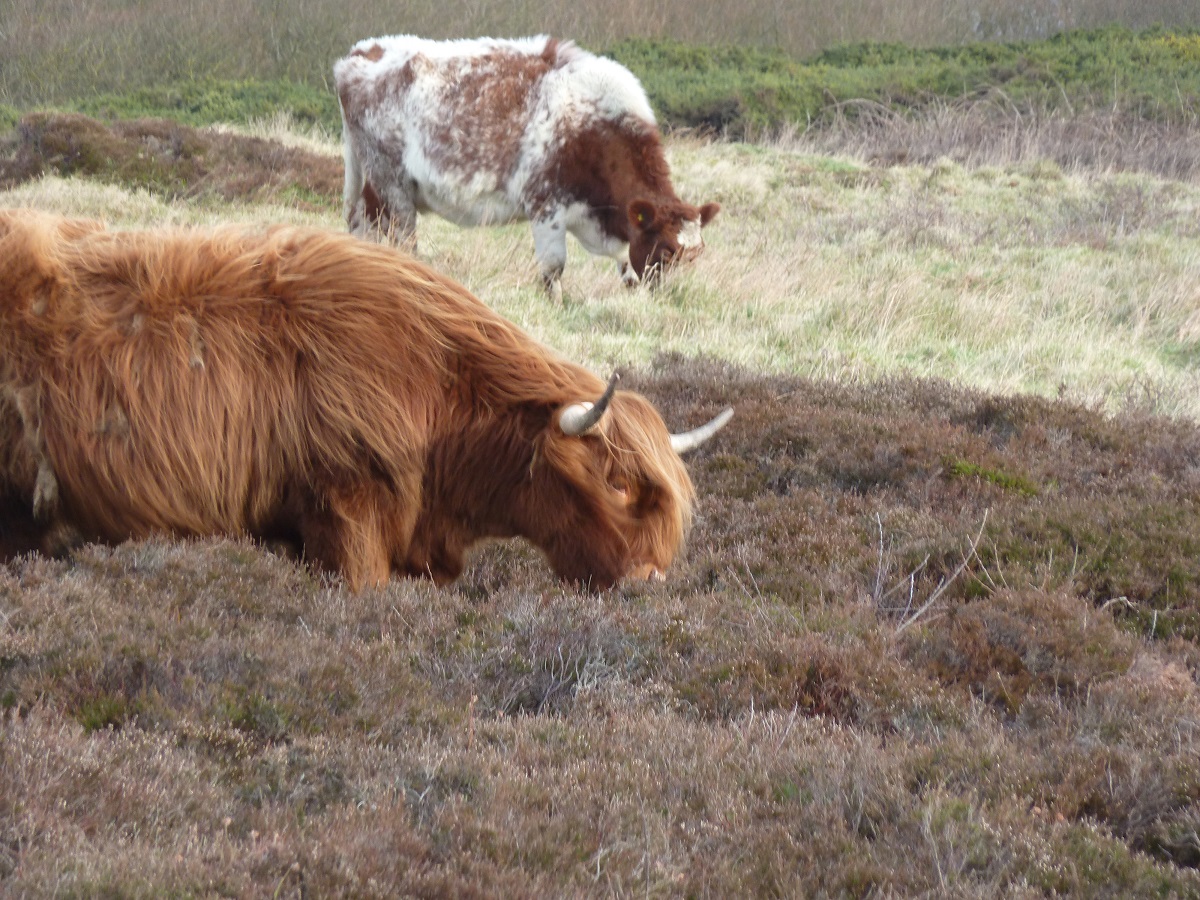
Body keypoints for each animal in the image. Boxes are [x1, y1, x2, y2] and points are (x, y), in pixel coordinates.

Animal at [334, 35, 720, 300]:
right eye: (667, 251)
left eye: (698, 253)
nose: (677, 296)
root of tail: (362, 52)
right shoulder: (545, 207)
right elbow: (552, 270)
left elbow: (626, 268)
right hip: (392, 186)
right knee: (403, 239)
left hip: (374, 190)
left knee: (361, 224)